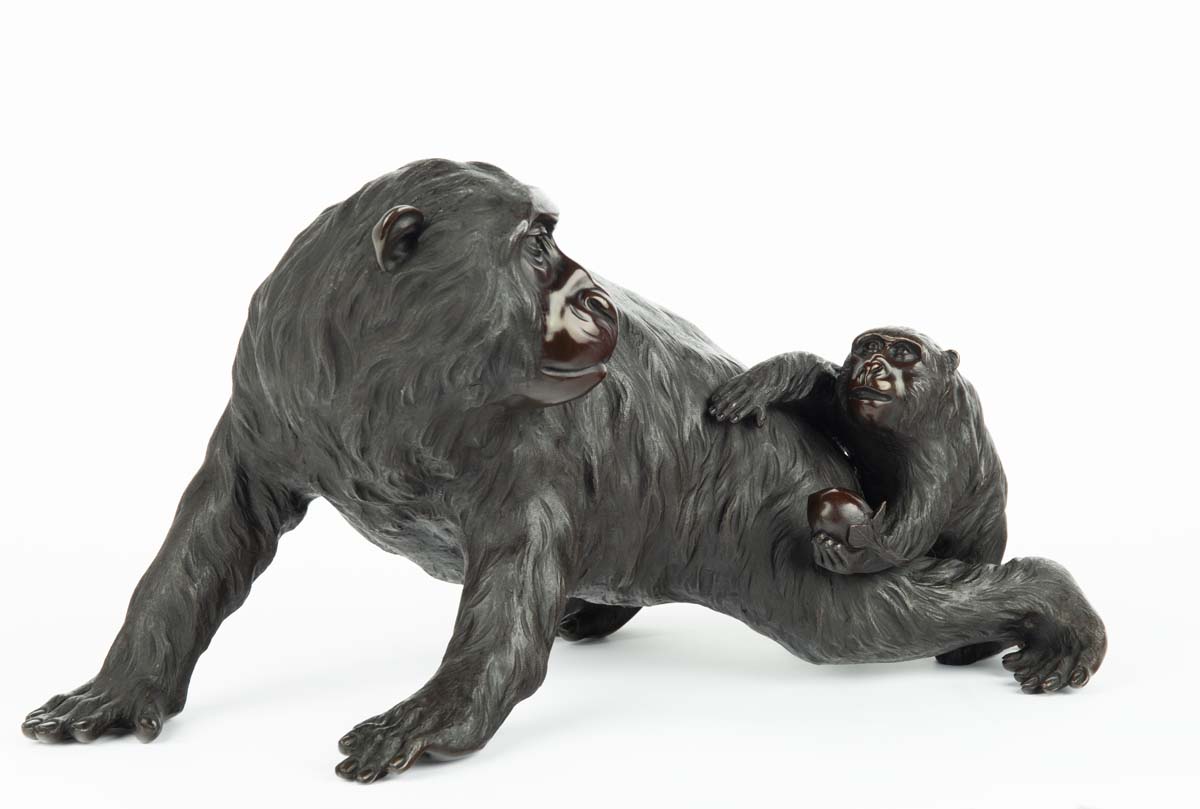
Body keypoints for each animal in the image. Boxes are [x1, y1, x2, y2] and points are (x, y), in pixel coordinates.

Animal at [709, 328, 1009, 665]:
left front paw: (858, 551)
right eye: (869, 346)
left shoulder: (940, 452)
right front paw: (765, 379)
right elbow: (821, 376)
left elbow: (910, 532)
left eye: (903, 353)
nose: (873, 364)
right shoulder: (843, 404)